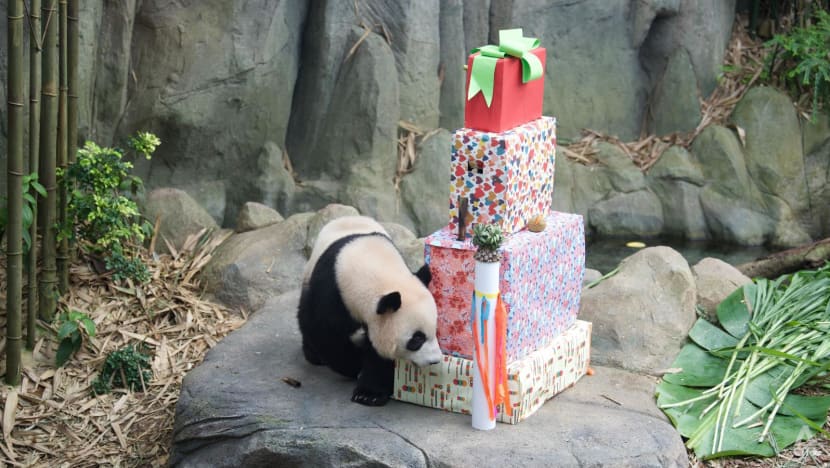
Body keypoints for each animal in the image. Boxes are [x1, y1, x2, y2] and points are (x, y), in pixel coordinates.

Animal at [298, 216, 443, 406]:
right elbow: (326, 334)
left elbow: (378, 353)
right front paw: (355, 366)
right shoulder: (331, 291)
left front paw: (369, 393)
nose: (435, 360)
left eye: (435, 331)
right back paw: (313, 355)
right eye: (417, 338)